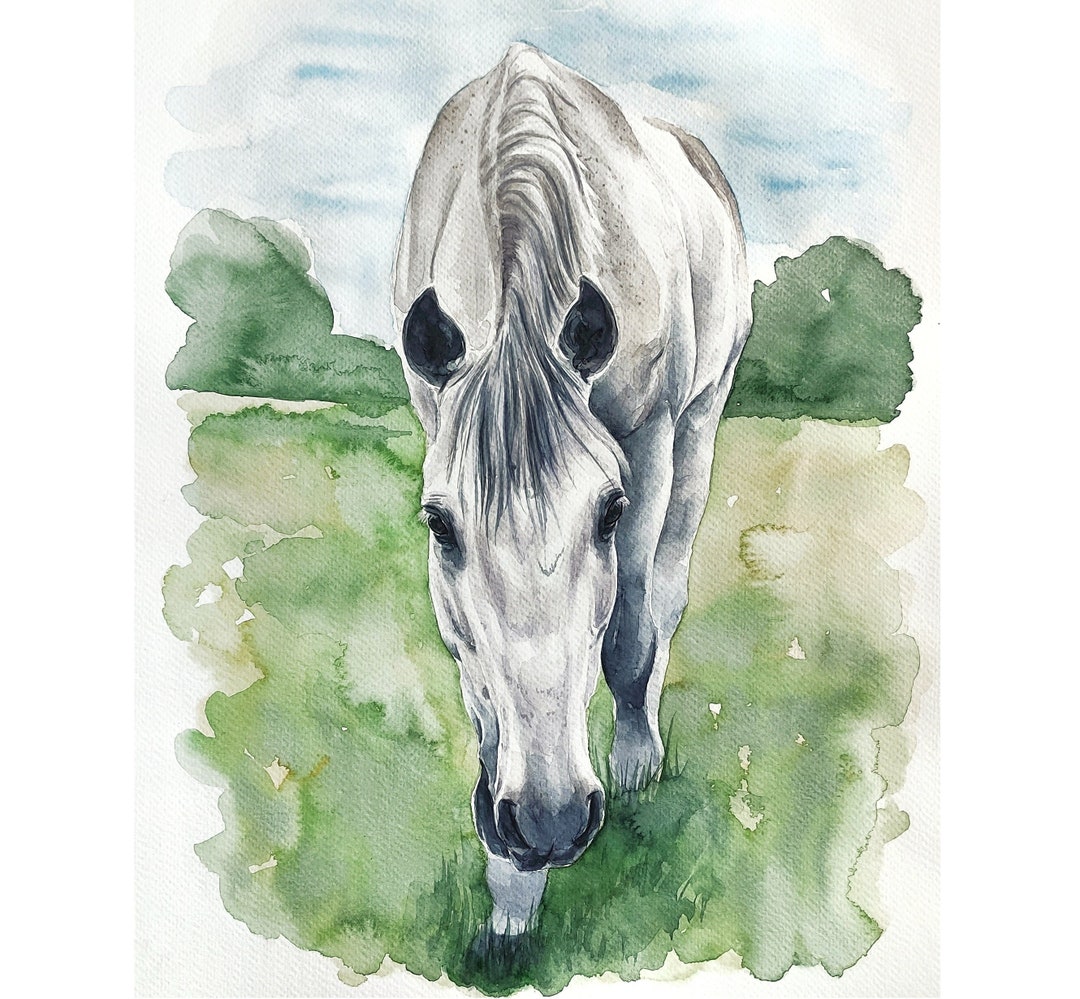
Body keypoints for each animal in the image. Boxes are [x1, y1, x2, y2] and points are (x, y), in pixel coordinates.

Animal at [392, 44, 750, 938]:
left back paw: (640, 746)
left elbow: (626, 634)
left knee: (664, 597)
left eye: (609, 512)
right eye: (438, 524)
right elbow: (483, 690)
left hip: (700, 423)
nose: (548, 822)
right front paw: (511, 898)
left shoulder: (646, 444)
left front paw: (633, 763)